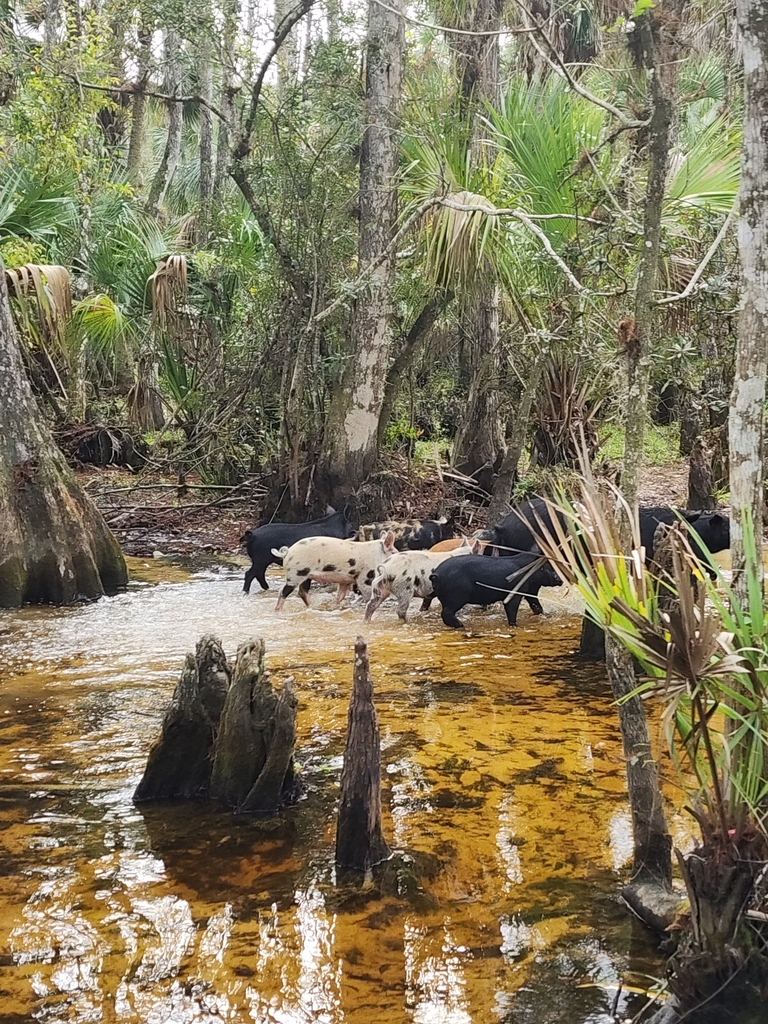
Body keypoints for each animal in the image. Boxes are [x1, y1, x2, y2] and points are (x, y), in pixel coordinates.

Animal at [429, 551, 563, 629]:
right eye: (547, 567)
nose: (560, 579)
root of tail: (436, 574)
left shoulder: (530, 591)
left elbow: (536, 606)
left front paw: (544, 614)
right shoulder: (514, 592)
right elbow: (511, 608)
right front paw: (515, 626)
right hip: (456, 596)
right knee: (446, 612)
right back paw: (461, 625)